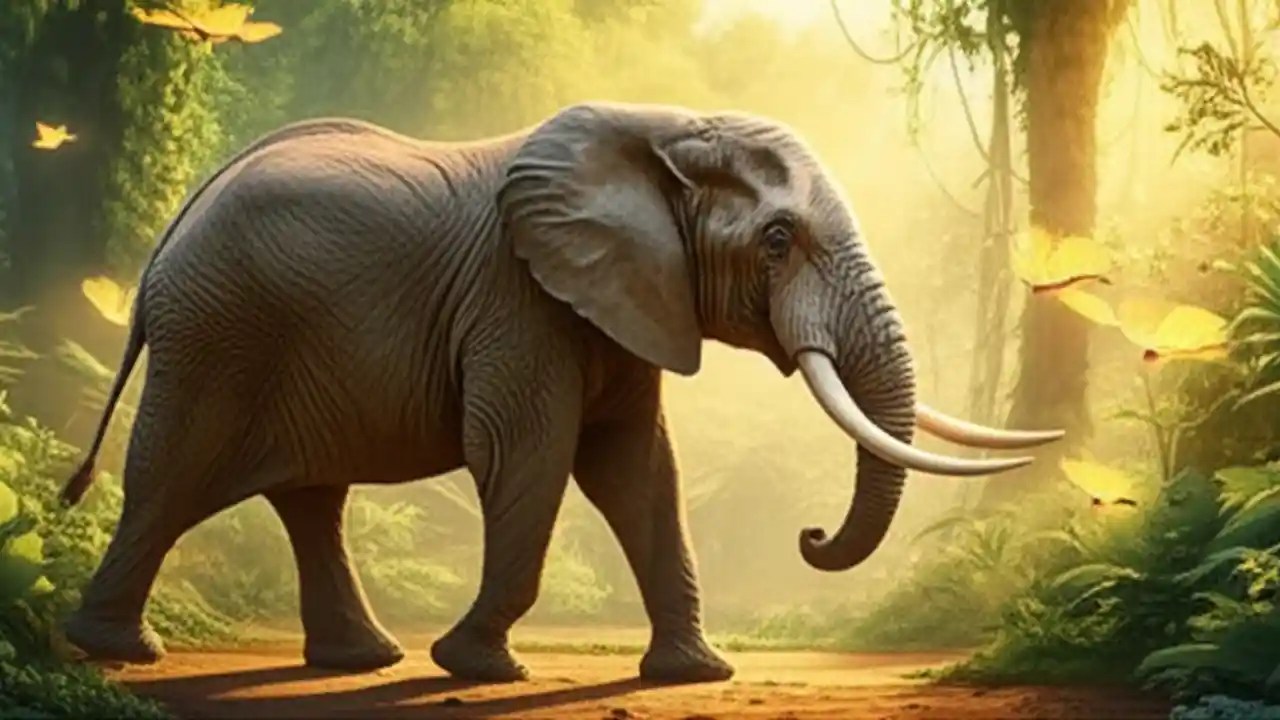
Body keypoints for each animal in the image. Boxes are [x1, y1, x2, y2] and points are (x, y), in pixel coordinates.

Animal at [59, 101, 1063, 683]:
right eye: (777, 242)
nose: (810, 536)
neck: (663, 126)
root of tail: (173, 229)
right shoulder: (520, 299)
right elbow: (528, 454)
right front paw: (479, 672)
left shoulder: (624, 297)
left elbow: (637, 468)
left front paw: (696, 675)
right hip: (215, 335)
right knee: (171, 478)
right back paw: (119, 651)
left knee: (311, 500)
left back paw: (359, 660)